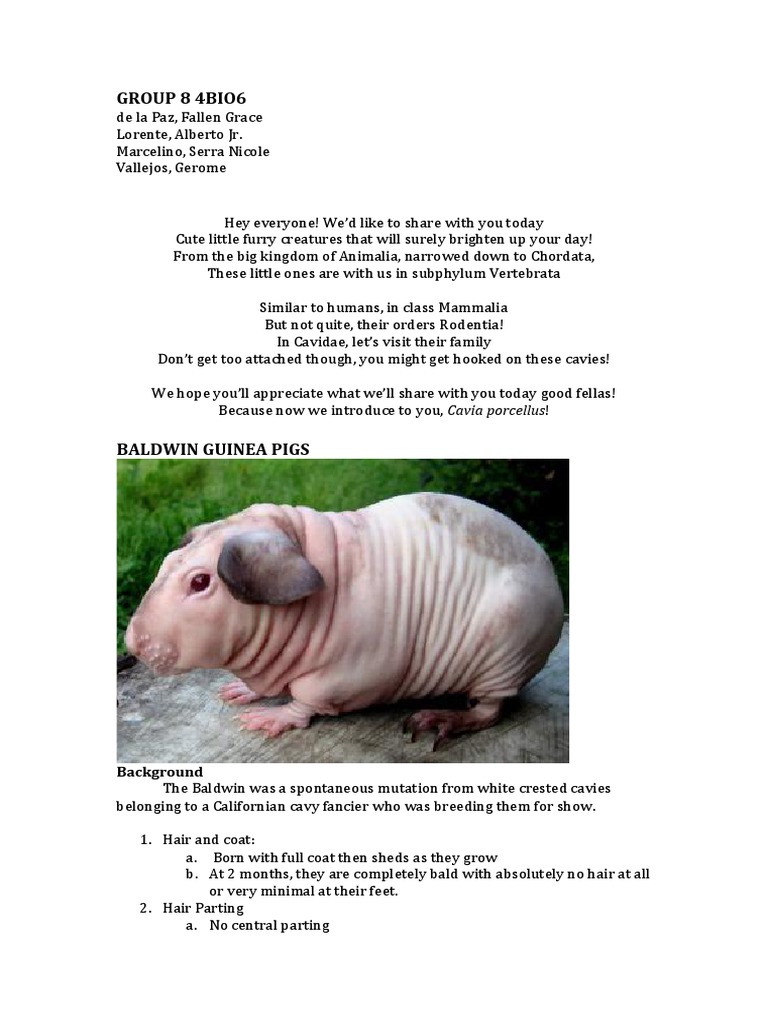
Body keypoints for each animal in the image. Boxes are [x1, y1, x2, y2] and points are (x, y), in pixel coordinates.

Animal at [125, 493, 564, 749]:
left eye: (200, 582)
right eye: (167, 562)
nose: (132, 643)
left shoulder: (353, 673)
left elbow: (308, 699)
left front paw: (274, 716)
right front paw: (245, 689)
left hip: (505, 652)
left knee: (491, 710)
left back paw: (444, 718)